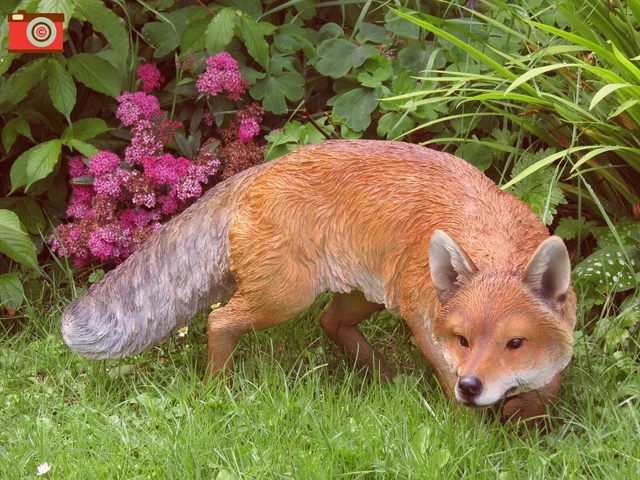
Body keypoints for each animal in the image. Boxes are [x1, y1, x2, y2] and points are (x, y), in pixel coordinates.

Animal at [61, 140, 576, 421]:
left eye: (515, 343)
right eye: (463, 339)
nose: (474, 386)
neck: (489, 232)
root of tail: (266, 167)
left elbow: (548, 388)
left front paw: (525, 416)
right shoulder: (427, 326)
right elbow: (451, 388)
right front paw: (472, 429)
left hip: (365, 297)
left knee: (330, 323)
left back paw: (381, 373)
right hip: (283, 298)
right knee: (219, 321)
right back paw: (215, 391)